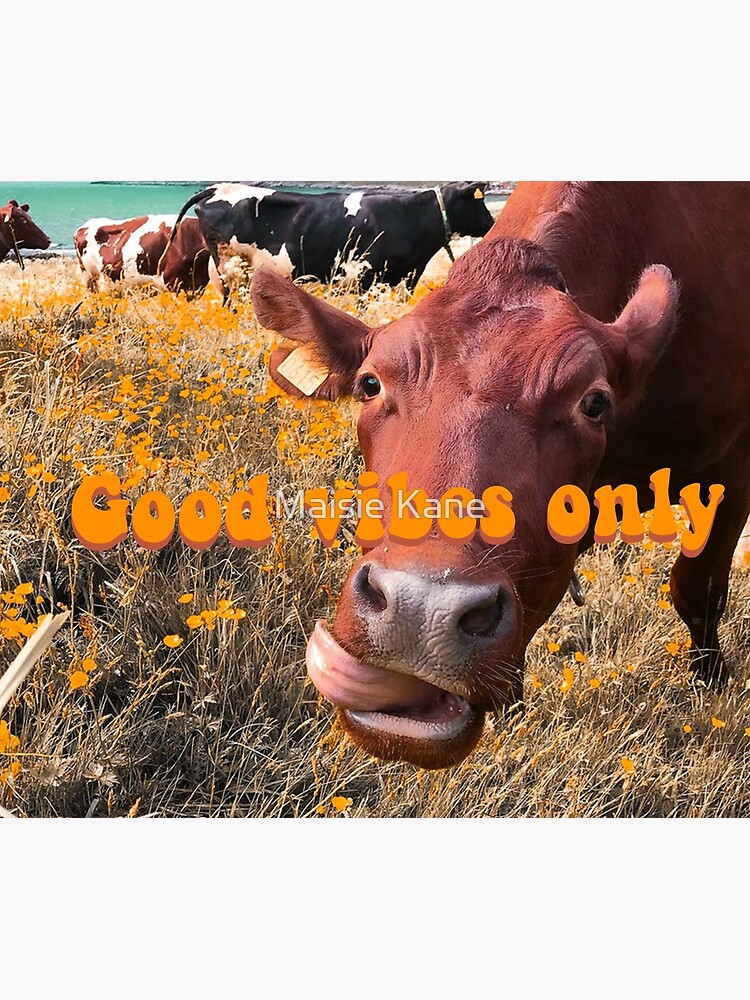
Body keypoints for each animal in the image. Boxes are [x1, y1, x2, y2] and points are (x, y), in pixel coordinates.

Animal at [161, 182, 494, 304]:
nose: (493, 224)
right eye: (479, 202)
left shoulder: (404, 279)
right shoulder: (367, 275)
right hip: (231, 267)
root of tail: (218, 187)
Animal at [250, 181, 750, 771]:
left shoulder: (734, 467)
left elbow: (698, 587)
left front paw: (709, 682)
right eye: (370, 384)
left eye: (595, 402)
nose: (420, 610)